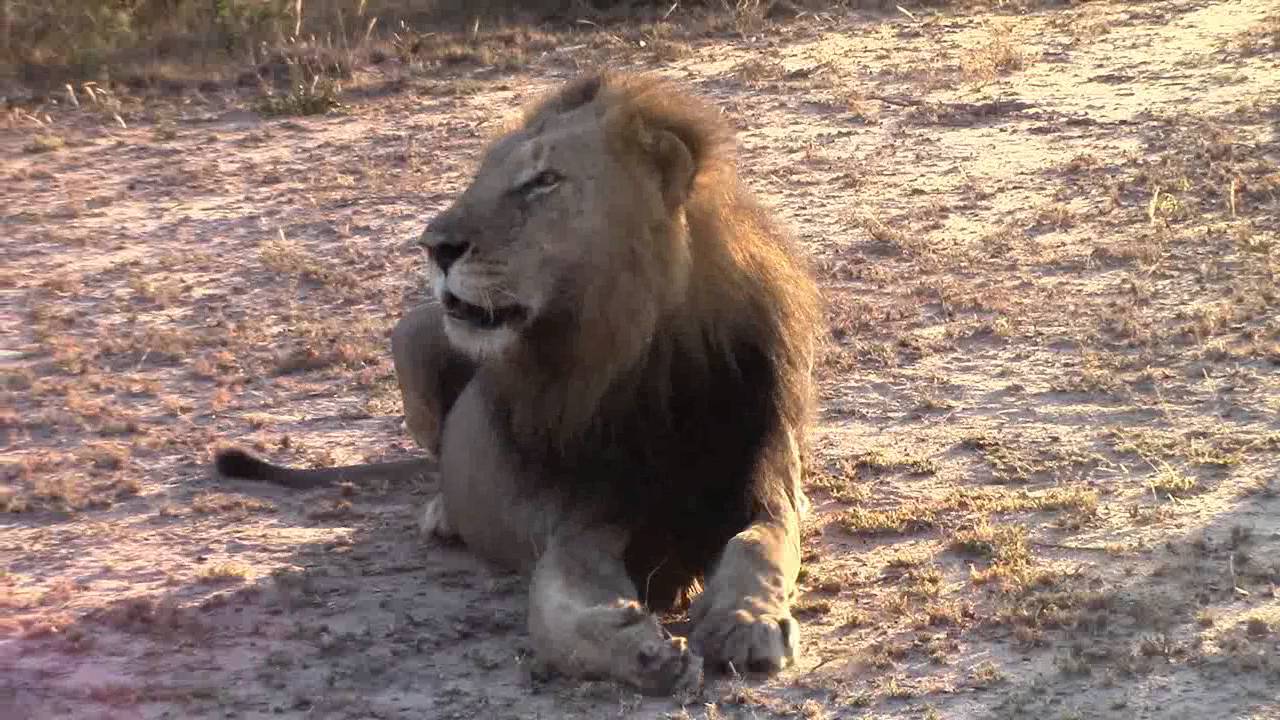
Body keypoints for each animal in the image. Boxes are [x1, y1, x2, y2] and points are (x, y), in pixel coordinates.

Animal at [214, 71, 822, 696]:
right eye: (481, 178)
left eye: (542, 181)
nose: (433, 246)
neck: (641, 355)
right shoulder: (579, 521)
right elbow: (556, 613)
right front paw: (639, 649)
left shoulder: (762, 483)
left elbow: (761, 547)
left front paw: (747, 622)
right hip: (412, 334)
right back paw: (443, 512)